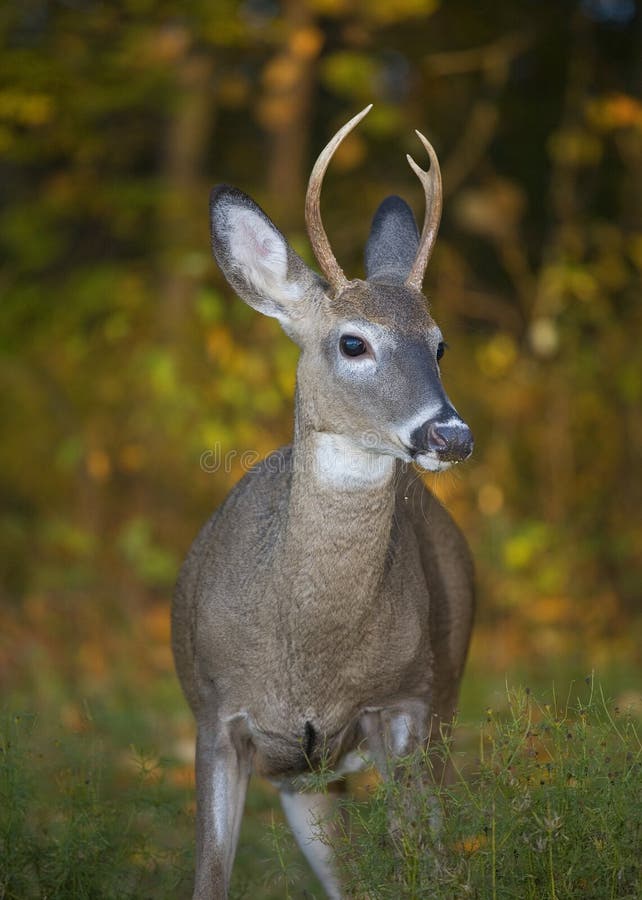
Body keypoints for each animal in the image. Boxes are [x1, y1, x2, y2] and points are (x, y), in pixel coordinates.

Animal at [171, 105, 475, 899]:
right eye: (353, 343)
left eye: (440, 344)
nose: (450, 433)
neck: (308, 660)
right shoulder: (215, 712)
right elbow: (210, 877)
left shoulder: (403, 702)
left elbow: (418, 863)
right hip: (305, 780)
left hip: (443, 698)